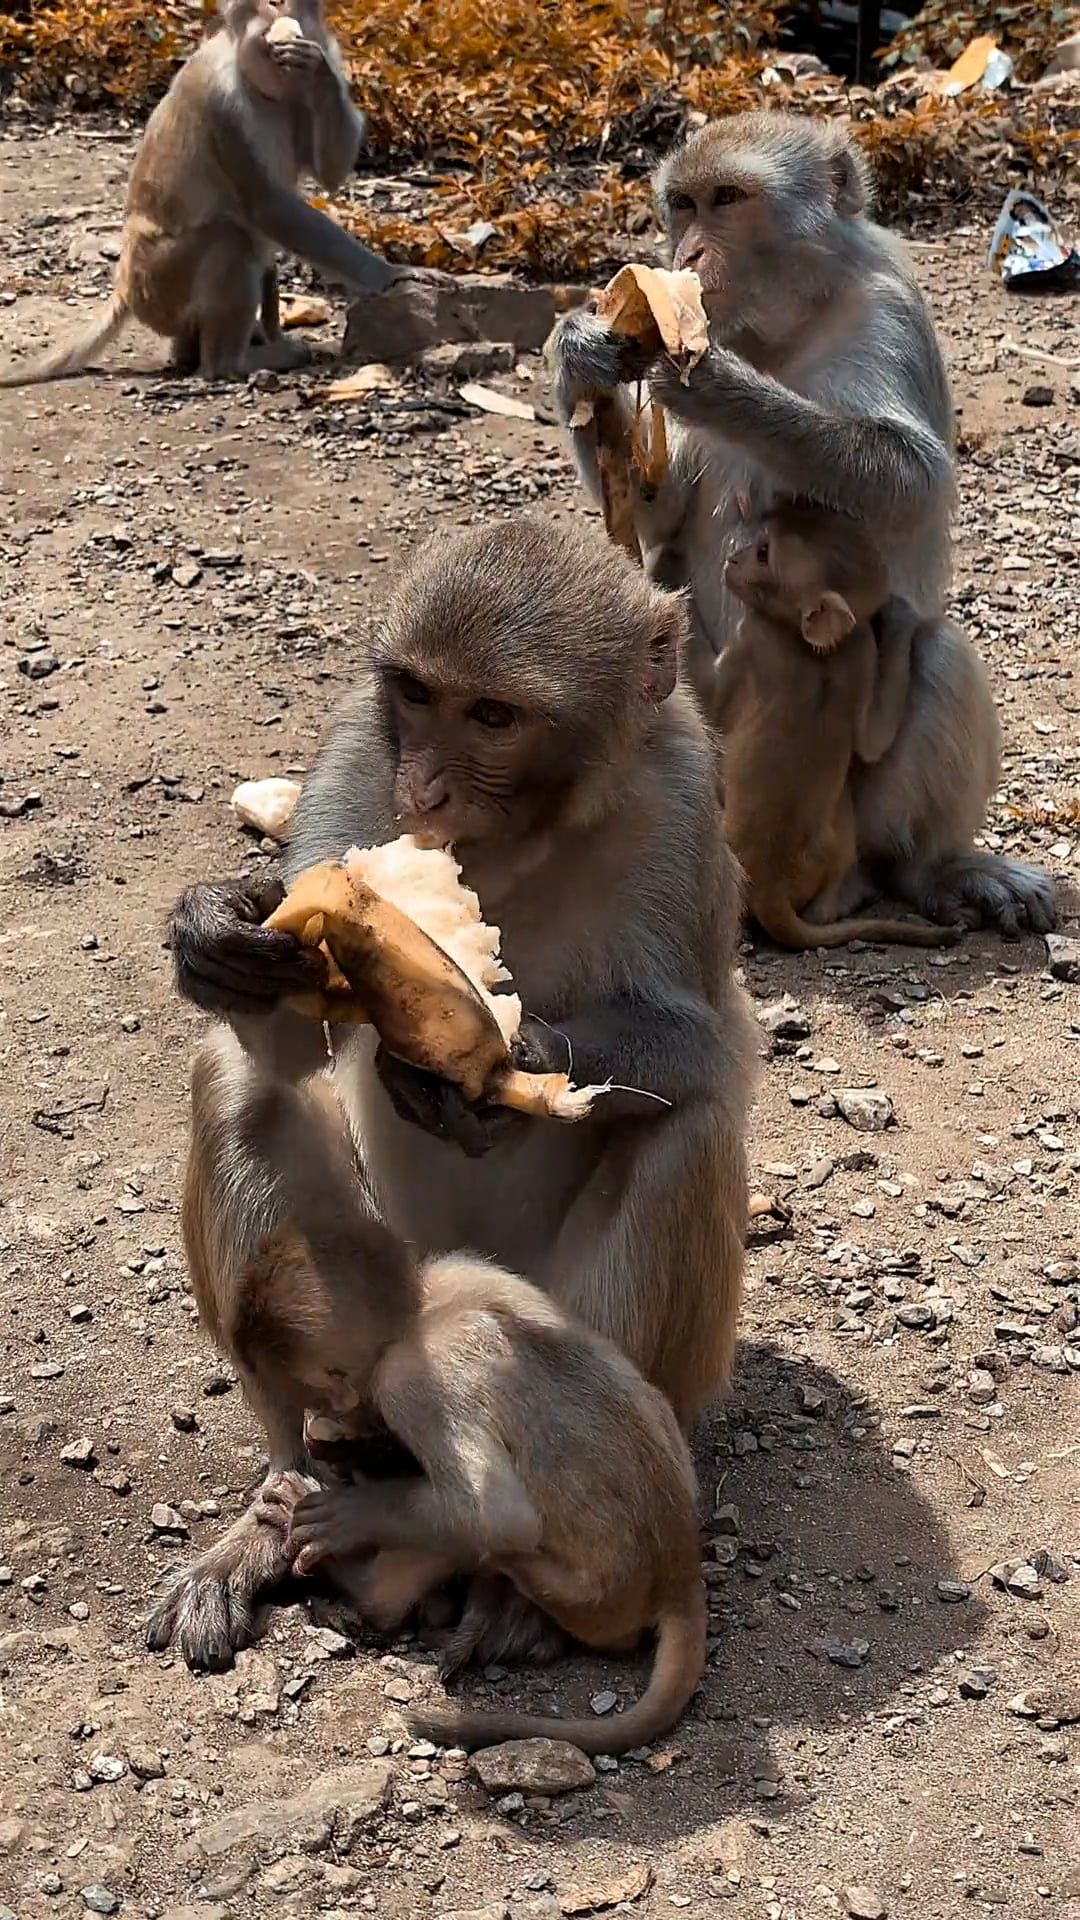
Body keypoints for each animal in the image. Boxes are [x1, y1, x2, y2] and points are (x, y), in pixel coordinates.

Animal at [0, 0, 439, 386]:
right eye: (267, 39)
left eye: (297, 35)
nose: (287, 66)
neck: (250, 80)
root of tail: (127, 285)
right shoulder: (223, 108)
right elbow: (268, 205)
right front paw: (392, 273)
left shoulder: (298, 98)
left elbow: (328, 173)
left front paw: (319, 75)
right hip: (163, 279)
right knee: (233, 240)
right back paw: (236, 362)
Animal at [149, 513, 754, 1674]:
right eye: (419, 694)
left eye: (495, 715)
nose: (424, 790)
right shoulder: (358, 740)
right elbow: (282, 1036)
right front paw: (215, 935)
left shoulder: (688, 796)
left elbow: (711, 1051)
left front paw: (502, 1068)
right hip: (366, 1261)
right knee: (234, 1077)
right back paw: (274, 1508)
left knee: (684, 1135)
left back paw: (530, 1586)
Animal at [215, 1080, 705, 1756]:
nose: (324, 1425)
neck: (423, 1316)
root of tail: (680, 1572)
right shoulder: (466, 1265)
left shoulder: (410, 1383)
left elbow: (496, 1517)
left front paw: (350, 1510)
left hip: (585, 1600)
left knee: (483, 1542)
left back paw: (368, 1586)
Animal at [714, 500, 962, 950]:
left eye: (763, 552)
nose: (733, 559)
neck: (802, 637)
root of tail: (770, 889)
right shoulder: (861, 647)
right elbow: (873, 741)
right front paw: (901, 623)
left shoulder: (748, 638)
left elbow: (711, 717)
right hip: (832, 842)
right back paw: (835, 904)